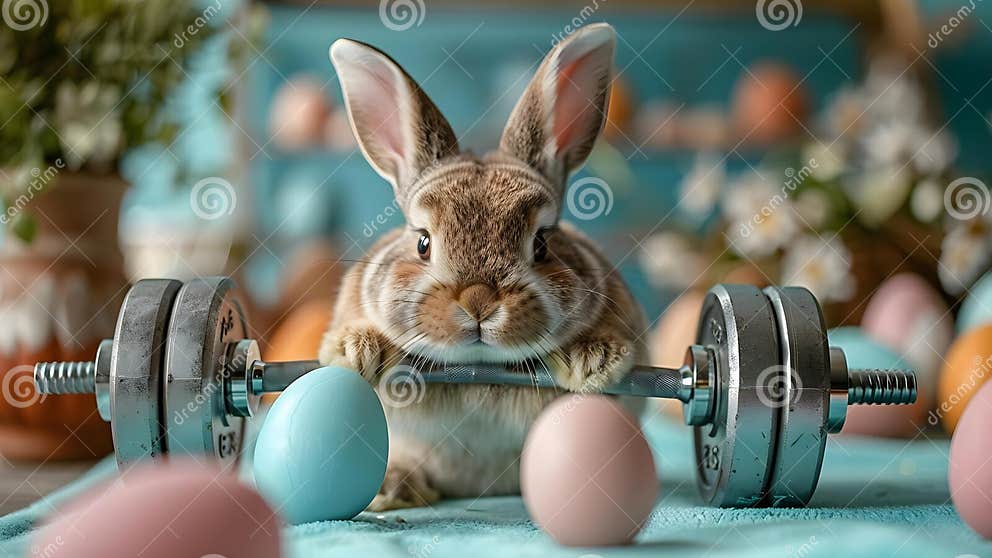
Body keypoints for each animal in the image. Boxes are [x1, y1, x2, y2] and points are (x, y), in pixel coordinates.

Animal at [320, 23, 647, 511]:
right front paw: (357, 349)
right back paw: (394, 489)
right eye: (423, 242)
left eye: (542, 243)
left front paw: (591, 359)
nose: (479, 301)